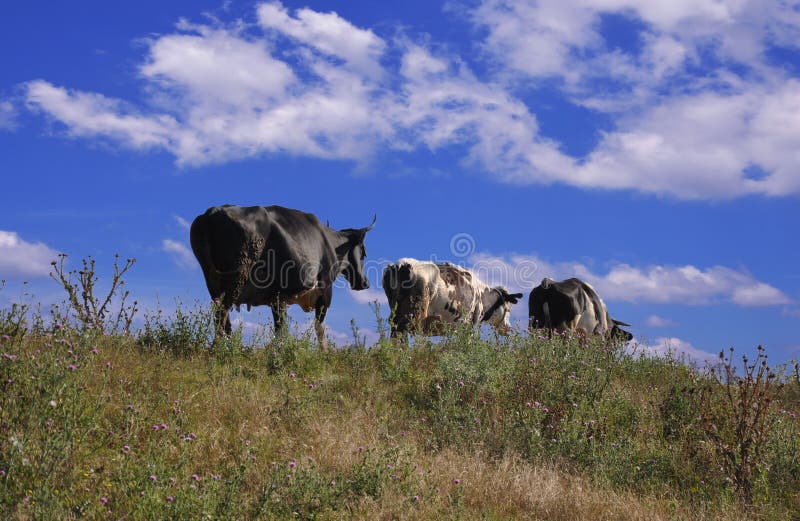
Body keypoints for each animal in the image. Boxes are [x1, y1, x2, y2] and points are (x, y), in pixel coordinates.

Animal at [190, 205, 375, 350]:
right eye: (364, 252)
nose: (365, 282)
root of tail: (213, 211)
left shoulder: (278, 298)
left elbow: (280, 329)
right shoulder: (325, 290)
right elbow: (319, 327)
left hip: (213, 282)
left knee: (222, 318)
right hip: (236, 279)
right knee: (222, 316)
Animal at [382, 258, 523, 339]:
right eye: (509, 308)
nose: (509, 329)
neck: (481, 295)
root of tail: (400, 264)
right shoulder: (470, 324)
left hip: (396, 313)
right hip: (414, 313)